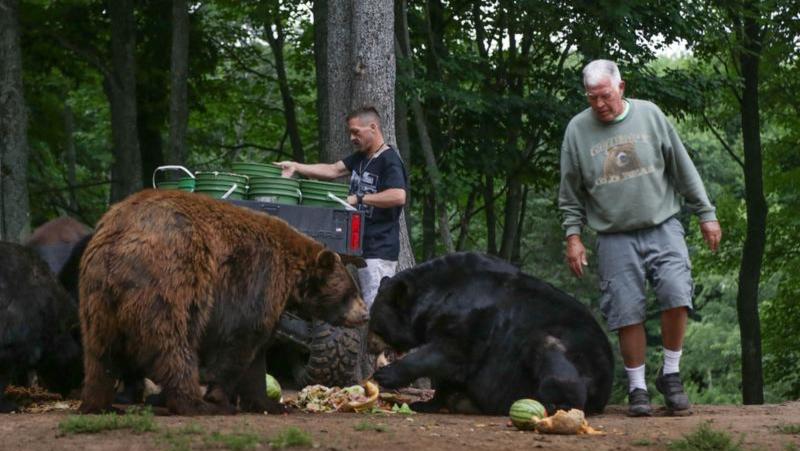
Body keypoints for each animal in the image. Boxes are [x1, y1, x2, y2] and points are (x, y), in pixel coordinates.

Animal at [79, 189, 368, 415]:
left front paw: (269, 403)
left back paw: (98, 402)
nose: (365, 314)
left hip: (96, 295)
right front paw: (219, 396)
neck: (291, 275)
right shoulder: (256, 278)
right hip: (168, 279)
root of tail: (119, 239)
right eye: (352, 291)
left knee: (100, 351)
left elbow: (256, 358)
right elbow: (242, 339)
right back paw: (194, 403)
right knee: (173, 342)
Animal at [368, 252, 614, 416]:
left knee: (553, 361)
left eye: (375, 323)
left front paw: (386, 374)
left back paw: (550, 404)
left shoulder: (474, 319)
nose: (370, 346)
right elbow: (449, 373)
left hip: (569, 347)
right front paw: (427, 403)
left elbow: (451, 352)